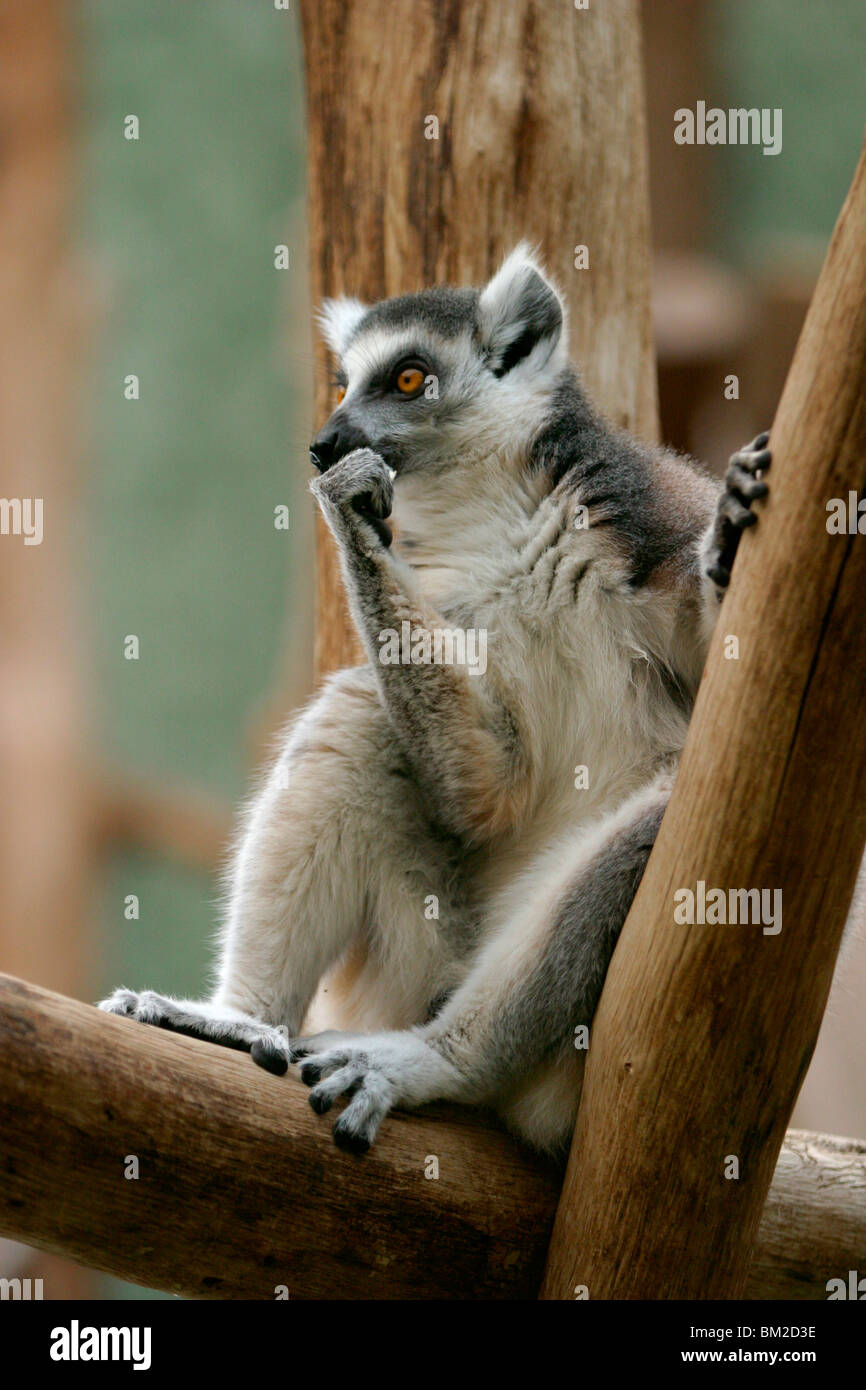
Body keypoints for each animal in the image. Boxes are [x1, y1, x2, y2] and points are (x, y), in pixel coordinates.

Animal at [100, 245, 771, 1155]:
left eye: (409, 378)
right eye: (345, 381)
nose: (324, 445)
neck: (491, 512)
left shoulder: (643, 515)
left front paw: (731, 541)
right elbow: (487, 789)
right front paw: (352, 517)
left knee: (651, 825)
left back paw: (440, 1062)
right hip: (413, 962)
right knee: (364, 717)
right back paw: (238, 1021)